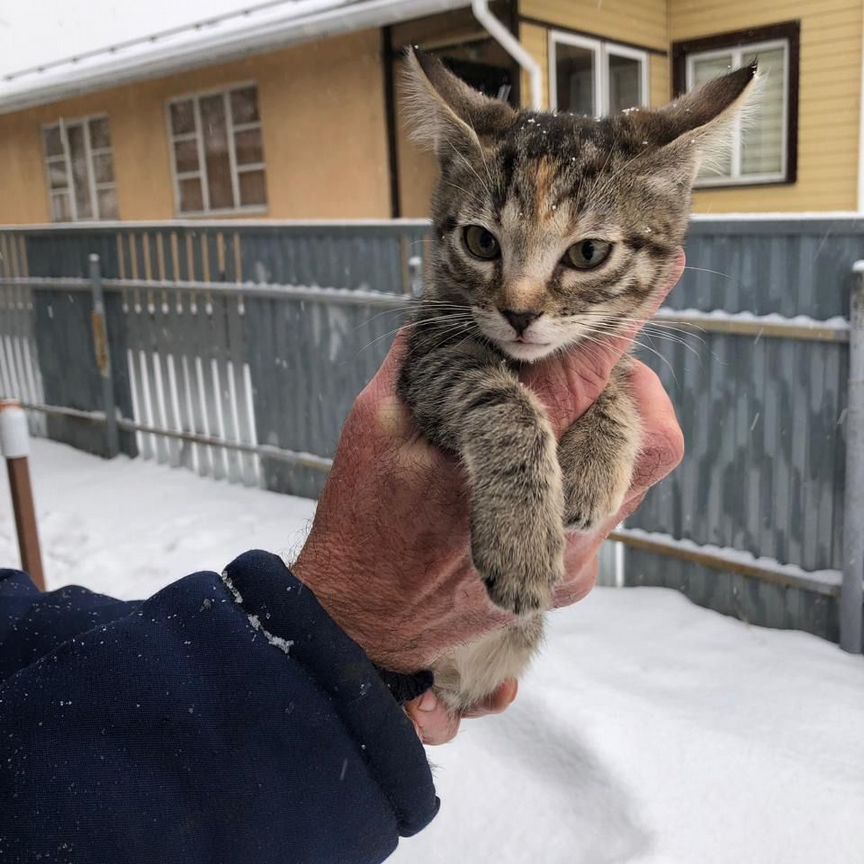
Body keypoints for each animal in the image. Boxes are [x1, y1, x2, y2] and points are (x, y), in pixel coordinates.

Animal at [398, 49, 756, 716]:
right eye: (480, 241)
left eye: (588, 253)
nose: (518, 313)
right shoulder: (426, 352)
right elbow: (498, 397)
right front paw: (521, 536)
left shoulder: (618, 347)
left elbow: (617, 379)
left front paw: (595, 459)